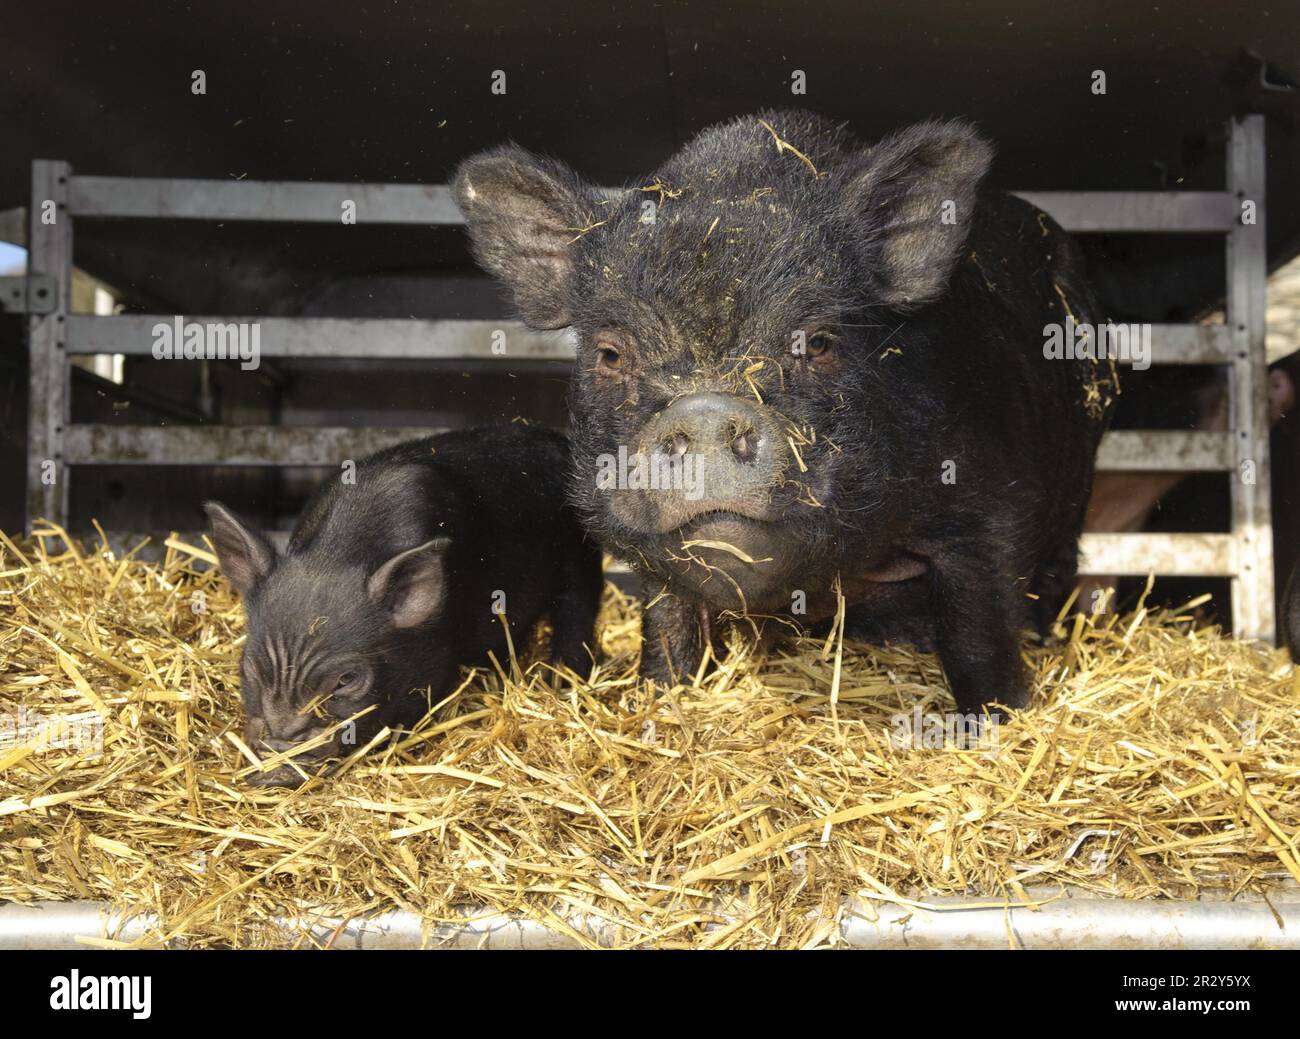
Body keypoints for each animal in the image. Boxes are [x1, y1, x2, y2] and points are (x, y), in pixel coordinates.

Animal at [205, 425, 602, 782]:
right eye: (252, 667)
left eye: (346, 679)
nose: (276, 765)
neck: (337, 556)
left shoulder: (437, 656)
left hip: (580, 554)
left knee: (578, 612)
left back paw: (562, 681)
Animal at [453, 110, 1117, 715]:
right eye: (611, 352)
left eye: (817, 341)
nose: (705, 411)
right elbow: (669, 633)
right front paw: (660, 703)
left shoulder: (989, 507)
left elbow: (980, 635)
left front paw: (997, 723)